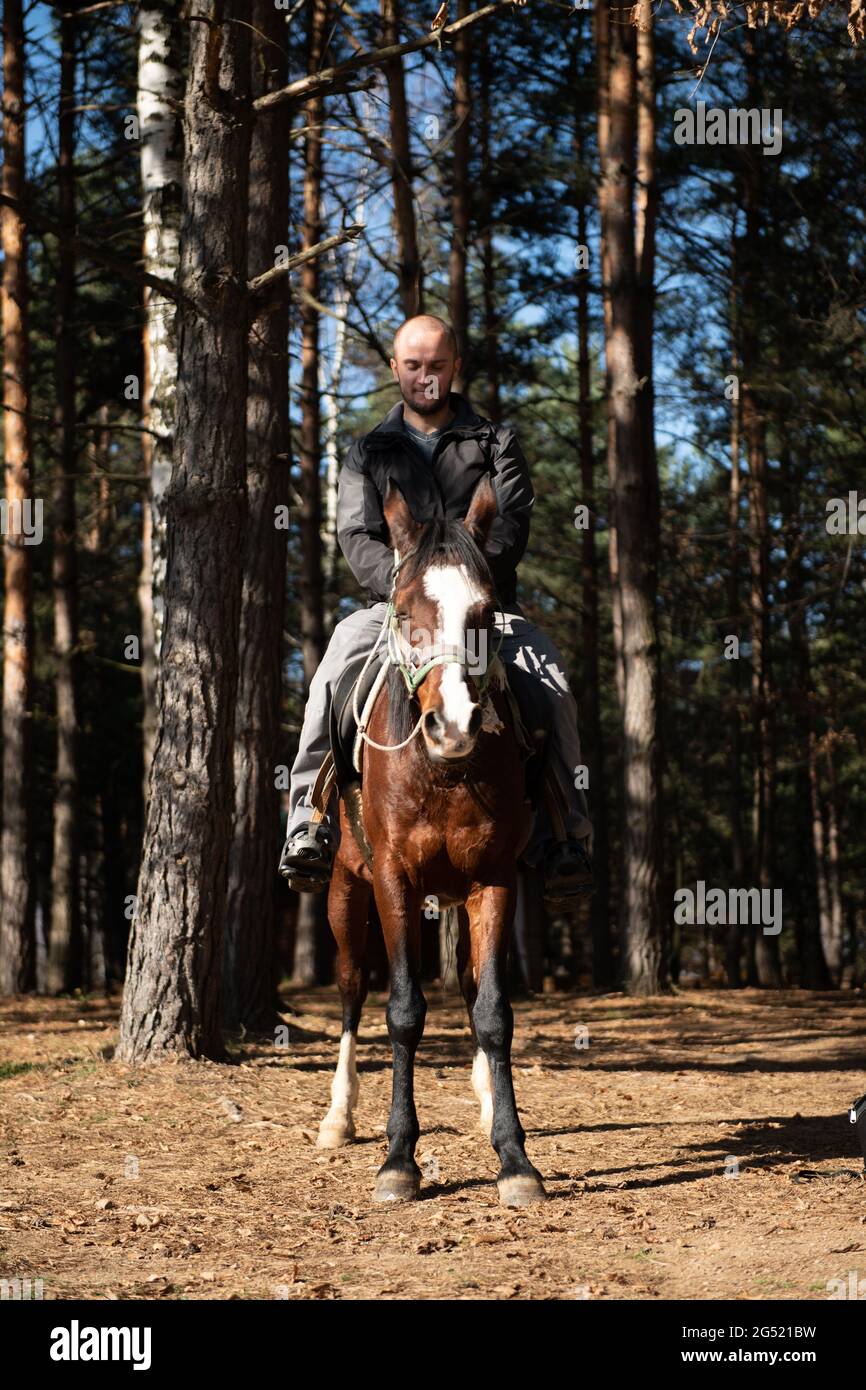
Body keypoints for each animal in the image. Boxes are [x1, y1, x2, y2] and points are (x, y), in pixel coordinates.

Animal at [316, 472, 547, 1207]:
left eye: (486, 610)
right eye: (404, 606)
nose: (454, 723)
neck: (440, 769)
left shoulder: (493, 880)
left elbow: (493, 1012)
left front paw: (514, 1158)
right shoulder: (393, 879)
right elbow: (403, 1012)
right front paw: (398, 1159)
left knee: (473, 984)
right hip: (344, 889)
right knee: (351, 989)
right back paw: (338, 1117)